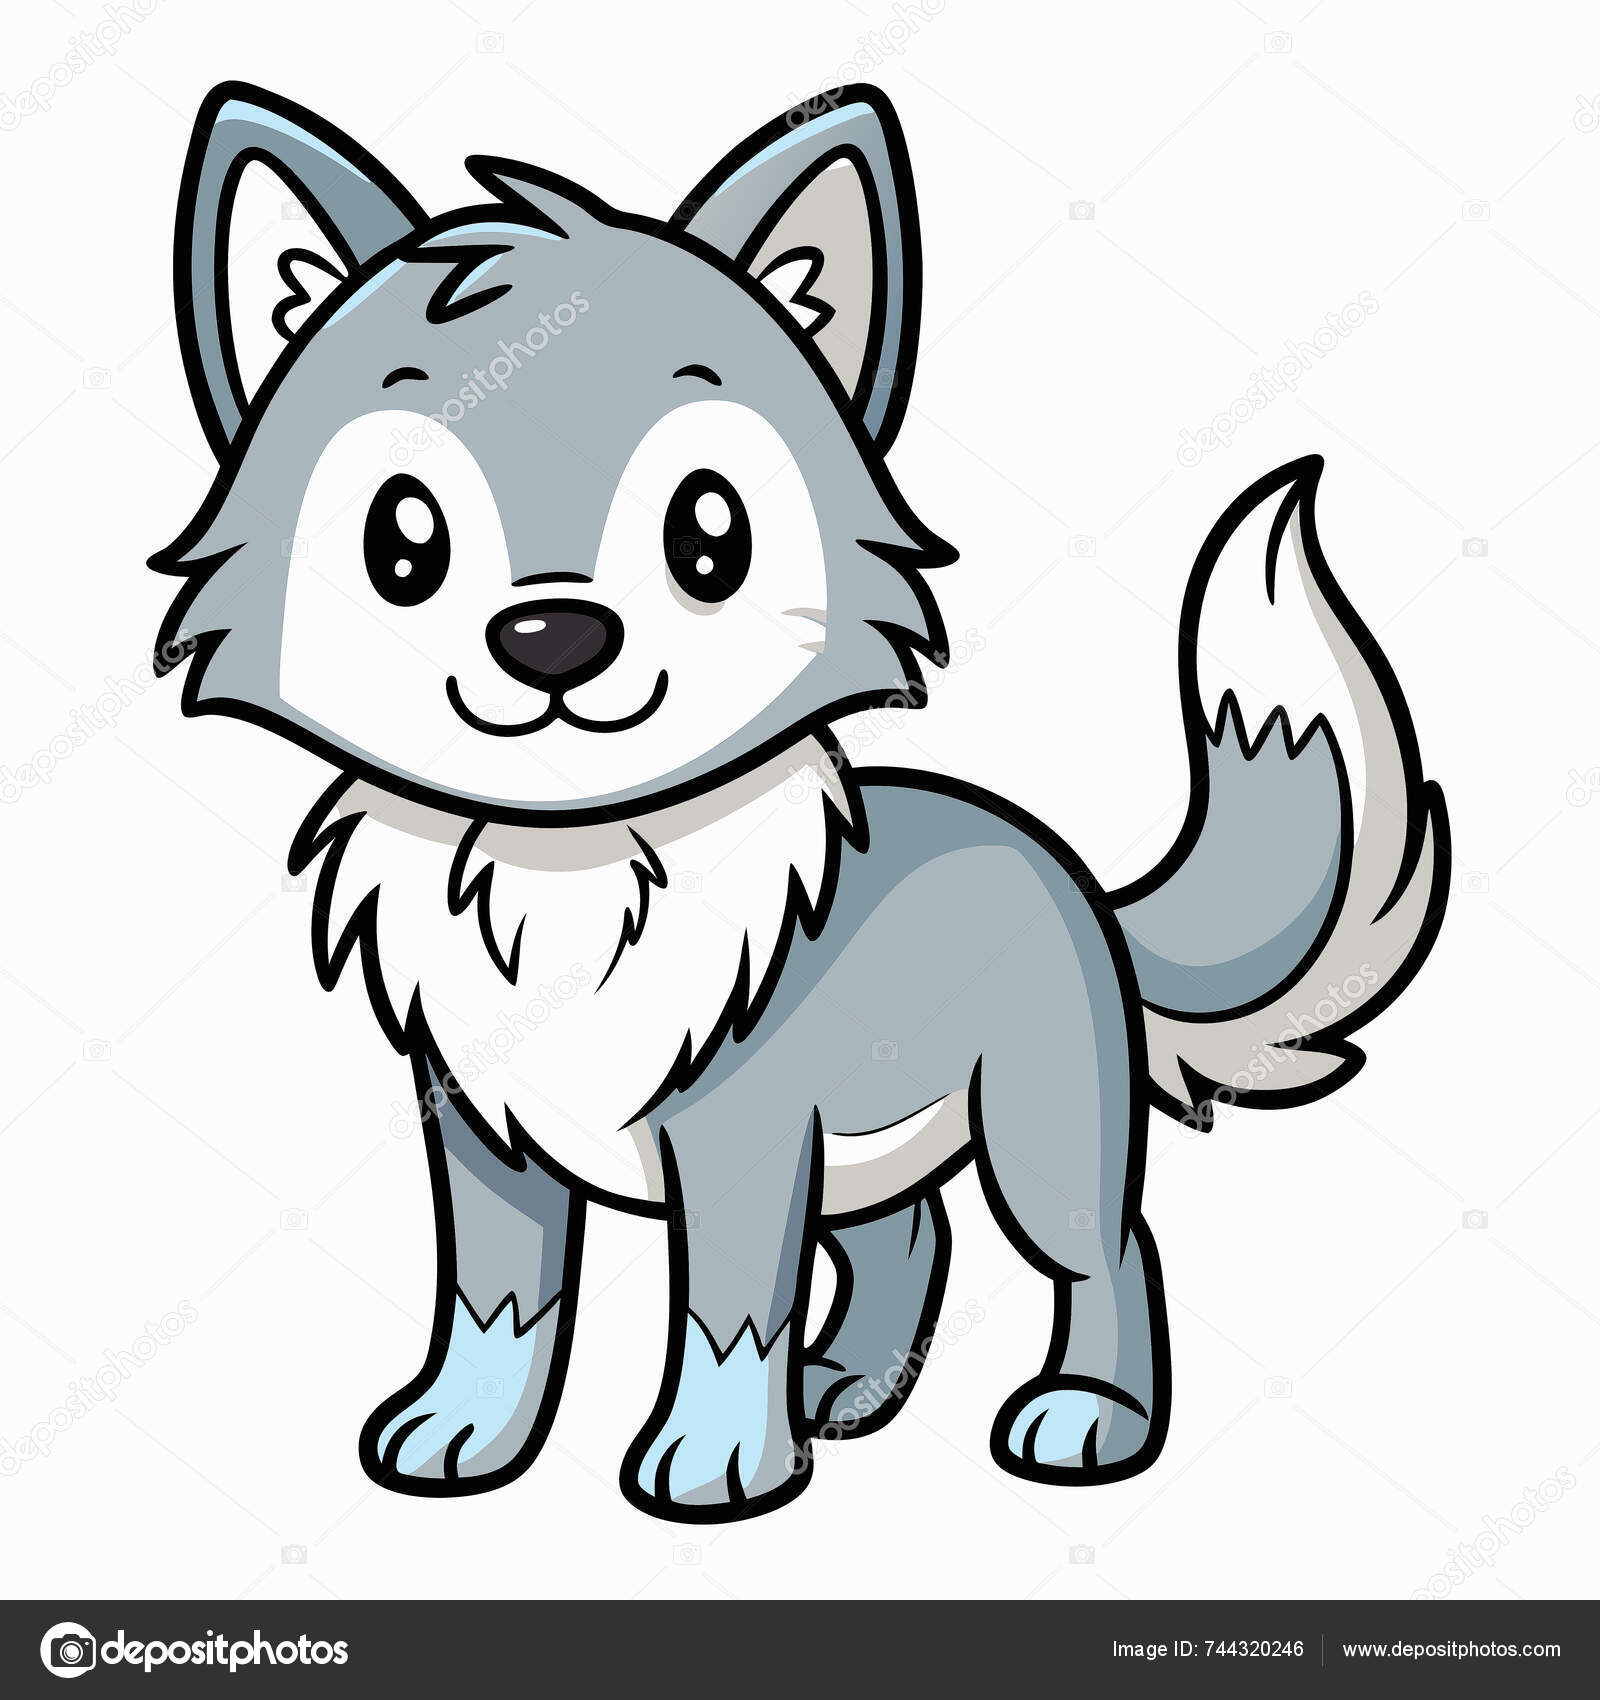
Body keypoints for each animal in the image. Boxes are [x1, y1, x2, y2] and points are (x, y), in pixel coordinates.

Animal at [152, 82, 1448, 1520]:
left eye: (708, 536)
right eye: (402, 542)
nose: (553, 638)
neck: (569, 876)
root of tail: (1055, 858)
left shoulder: (743, 1135)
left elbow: (726, 1312)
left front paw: (717, 1463)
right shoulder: (487, 1135)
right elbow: (498, 1301)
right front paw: (465, 1434)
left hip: (1038, 1135)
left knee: (1107, 1247)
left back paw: (1088, 1418)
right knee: (909, 1233)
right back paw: (847, 1388)